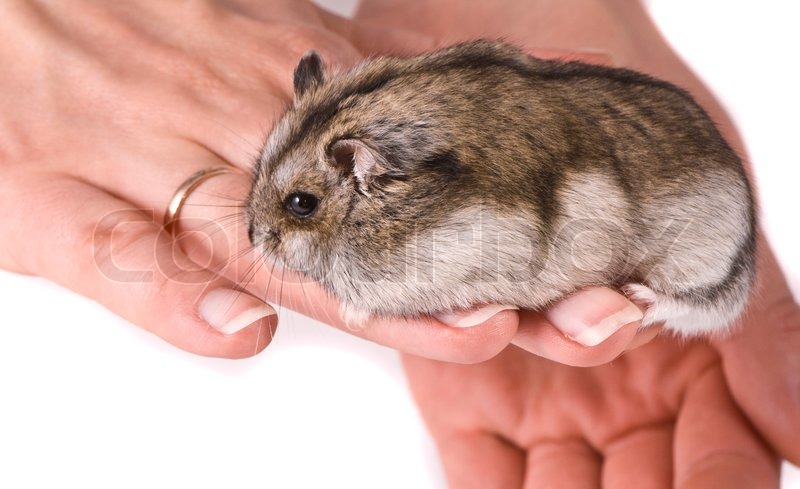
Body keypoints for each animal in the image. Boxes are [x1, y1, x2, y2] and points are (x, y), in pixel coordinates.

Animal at [246, 40, 756, 335]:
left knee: (697, 304)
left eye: (301, 203)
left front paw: (354, 314)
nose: (252, 238)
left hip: (701, 261)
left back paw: (639, 298)